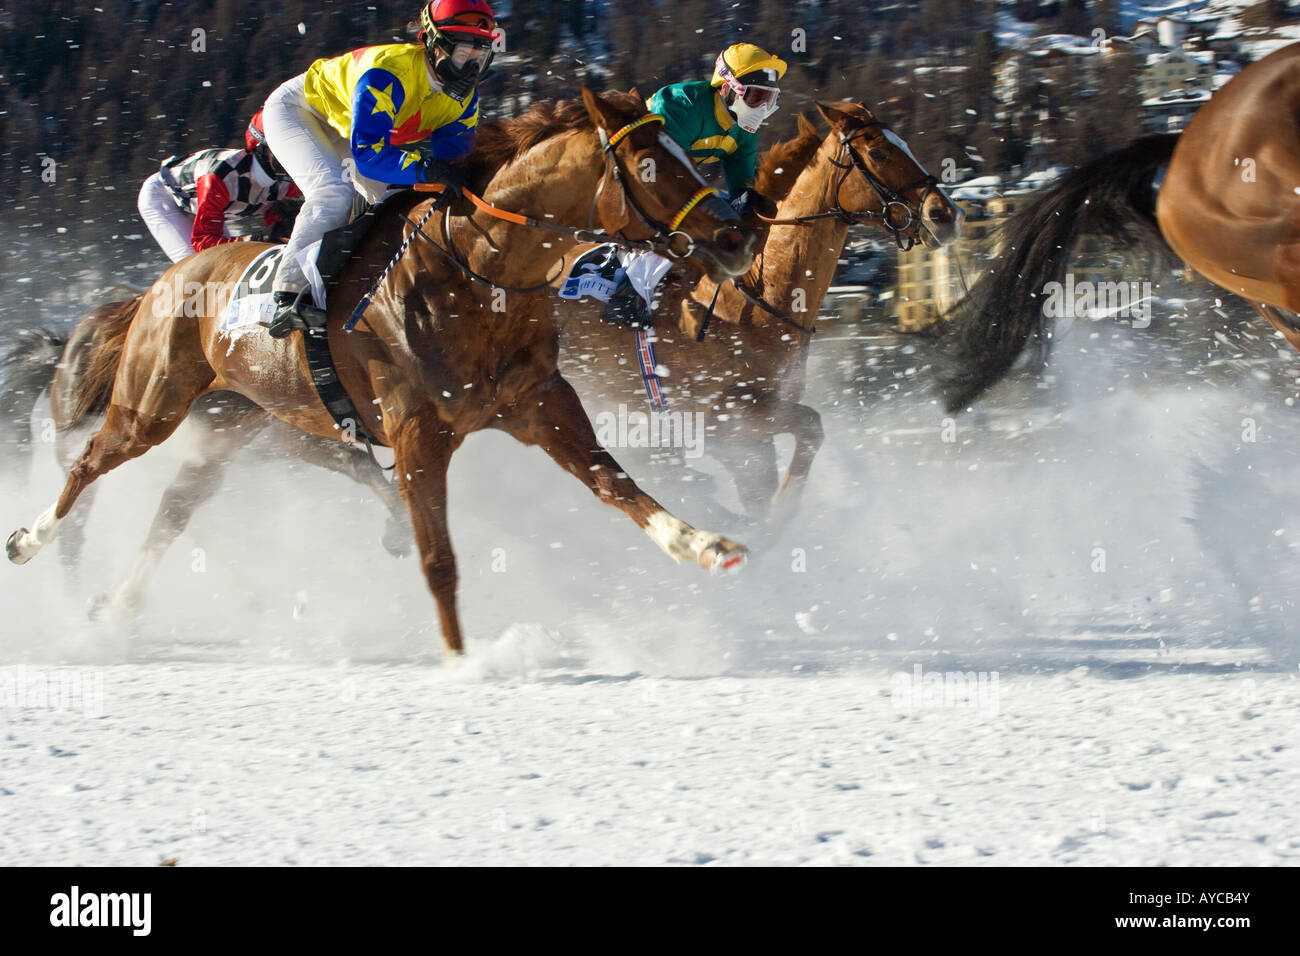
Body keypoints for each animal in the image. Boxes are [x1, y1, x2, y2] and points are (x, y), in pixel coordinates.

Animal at [5, 88, 757, 659]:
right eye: (648, 164)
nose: (736, 235)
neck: (475, 273)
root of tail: (163, 281)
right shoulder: (418, 433)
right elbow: (438, 559)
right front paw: (460, 660)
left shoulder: (539, 402)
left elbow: (614, 481)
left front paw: (701, 543)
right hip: (152, 406)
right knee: (89, 465)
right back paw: (29, 544)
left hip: (246, 419)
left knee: (174, 506)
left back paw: (115, 605)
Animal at [556, 101, 962, 526]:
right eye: (879, 152)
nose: (945, 214)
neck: (754, 299)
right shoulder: (723, 418)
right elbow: (810, 427)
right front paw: (774, 516)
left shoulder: (755, 428)